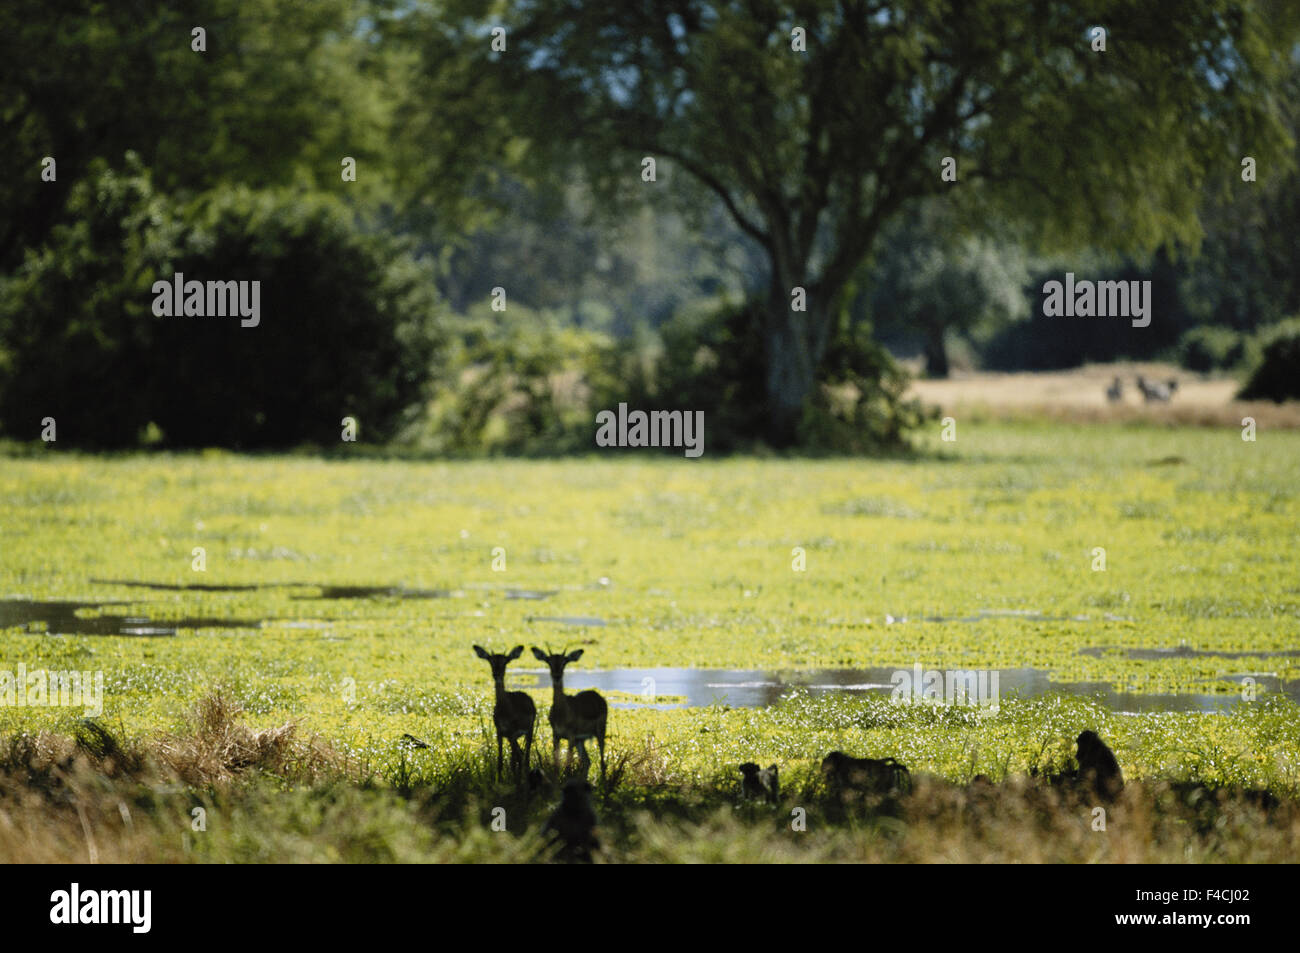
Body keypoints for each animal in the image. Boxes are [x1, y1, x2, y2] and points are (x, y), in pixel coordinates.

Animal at [472, 645, 536, 782]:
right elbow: (500, 761)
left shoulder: (512, 733)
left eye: (505, 662)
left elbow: (513, 762)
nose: (496, 674)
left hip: (529, 731)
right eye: (490, 661)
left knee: (525, 757)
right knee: (520, 755)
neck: (505, 709)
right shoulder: (500, 733)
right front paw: (500, 781)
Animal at [531, 647, 607, 782]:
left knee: (602, 762)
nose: (557, 676)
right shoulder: (556, 736)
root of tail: (598, 696)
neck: (562, 712)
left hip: (600, 733)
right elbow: (556, 766)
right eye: (548, 661)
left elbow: (567, 766)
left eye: (564, 662)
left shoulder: (571, 737)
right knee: (587, 762)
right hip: (580, 740)